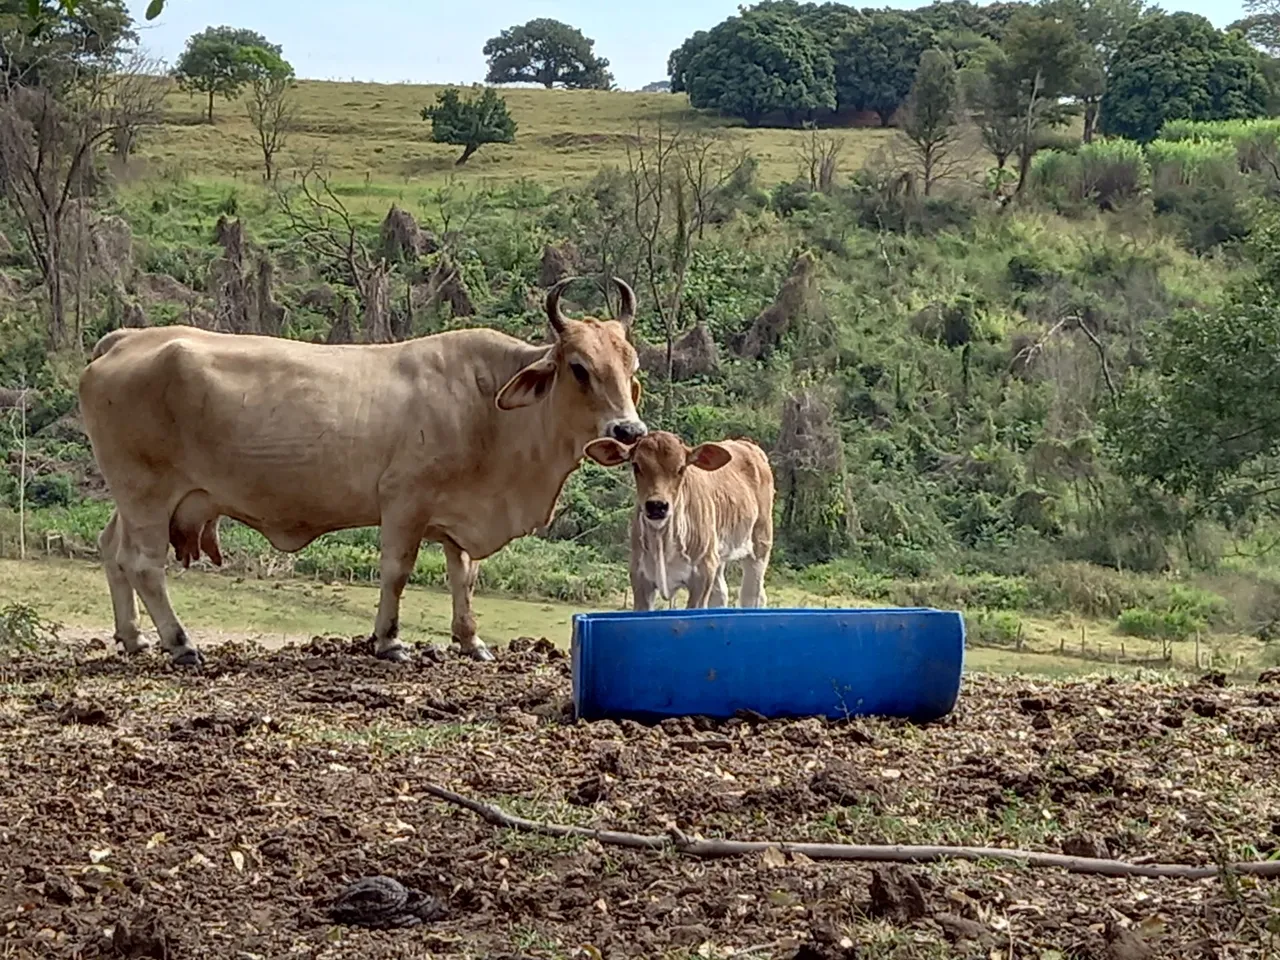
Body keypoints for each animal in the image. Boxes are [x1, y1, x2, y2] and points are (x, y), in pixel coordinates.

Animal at [78, 277, 648, 666]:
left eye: (631, 367)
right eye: (579, 368)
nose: (629, 430)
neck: (488, 407)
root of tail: (123, 340)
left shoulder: (457, 516)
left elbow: (463, 576)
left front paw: (471, 640)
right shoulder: (404, 502)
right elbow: (397, 571)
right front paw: (389, 641)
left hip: (136, 499)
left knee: (112, 551)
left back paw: (134, 637)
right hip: (147, 493)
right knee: (145, 564)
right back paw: (180, 643)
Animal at [583, 430, 774, 610]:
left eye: (681, 468)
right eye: (636, 465)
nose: (657, 505)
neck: (663, 540)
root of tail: (746, 443)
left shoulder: (702, 576)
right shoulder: (639, 577)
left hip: (760, 544)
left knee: (753, 594)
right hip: (718, 555)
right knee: (721, 594)